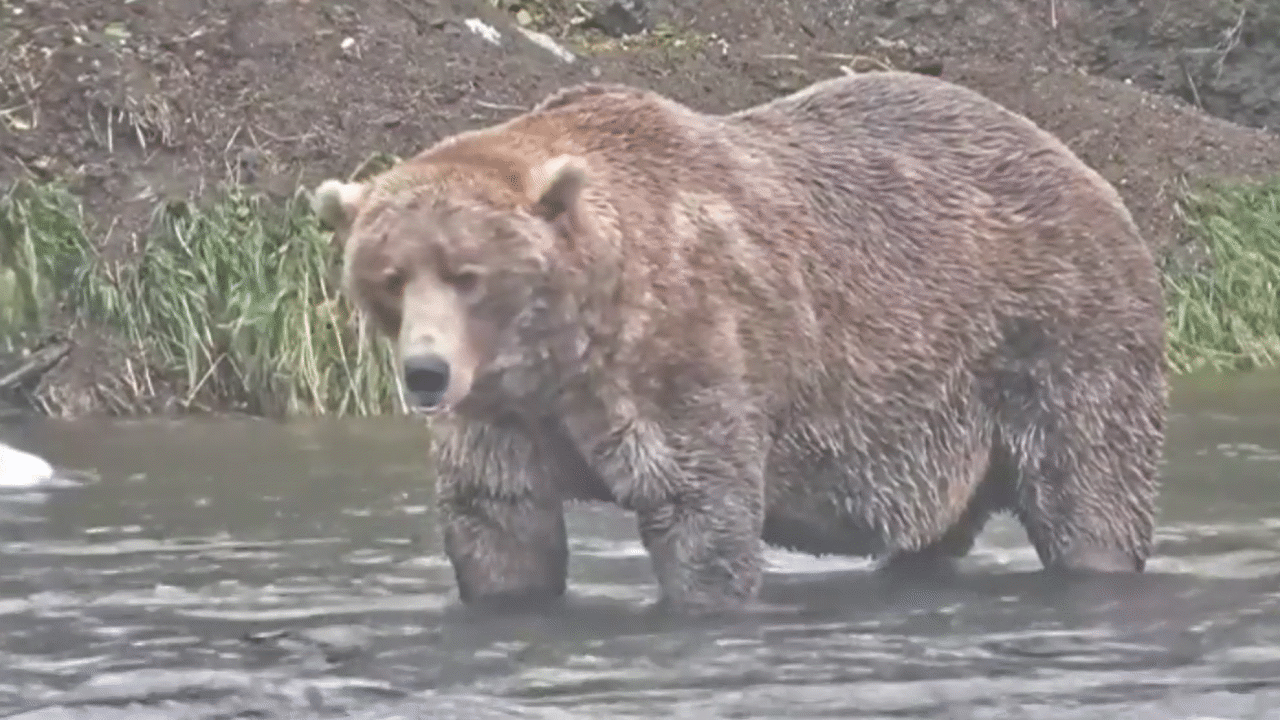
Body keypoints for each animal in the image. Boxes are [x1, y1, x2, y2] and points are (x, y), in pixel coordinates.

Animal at [311, 70, 1168, 615]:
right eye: (390, 277)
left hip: (1057, 338)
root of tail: (1088, 170)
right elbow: (500, 527)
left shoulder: (690, 353)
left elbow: (702, 515)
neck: (573, 346)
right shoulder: (505, 417)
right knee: (936, 528)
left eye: (467, 274)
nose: (426, 374)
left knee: (1087, 490)